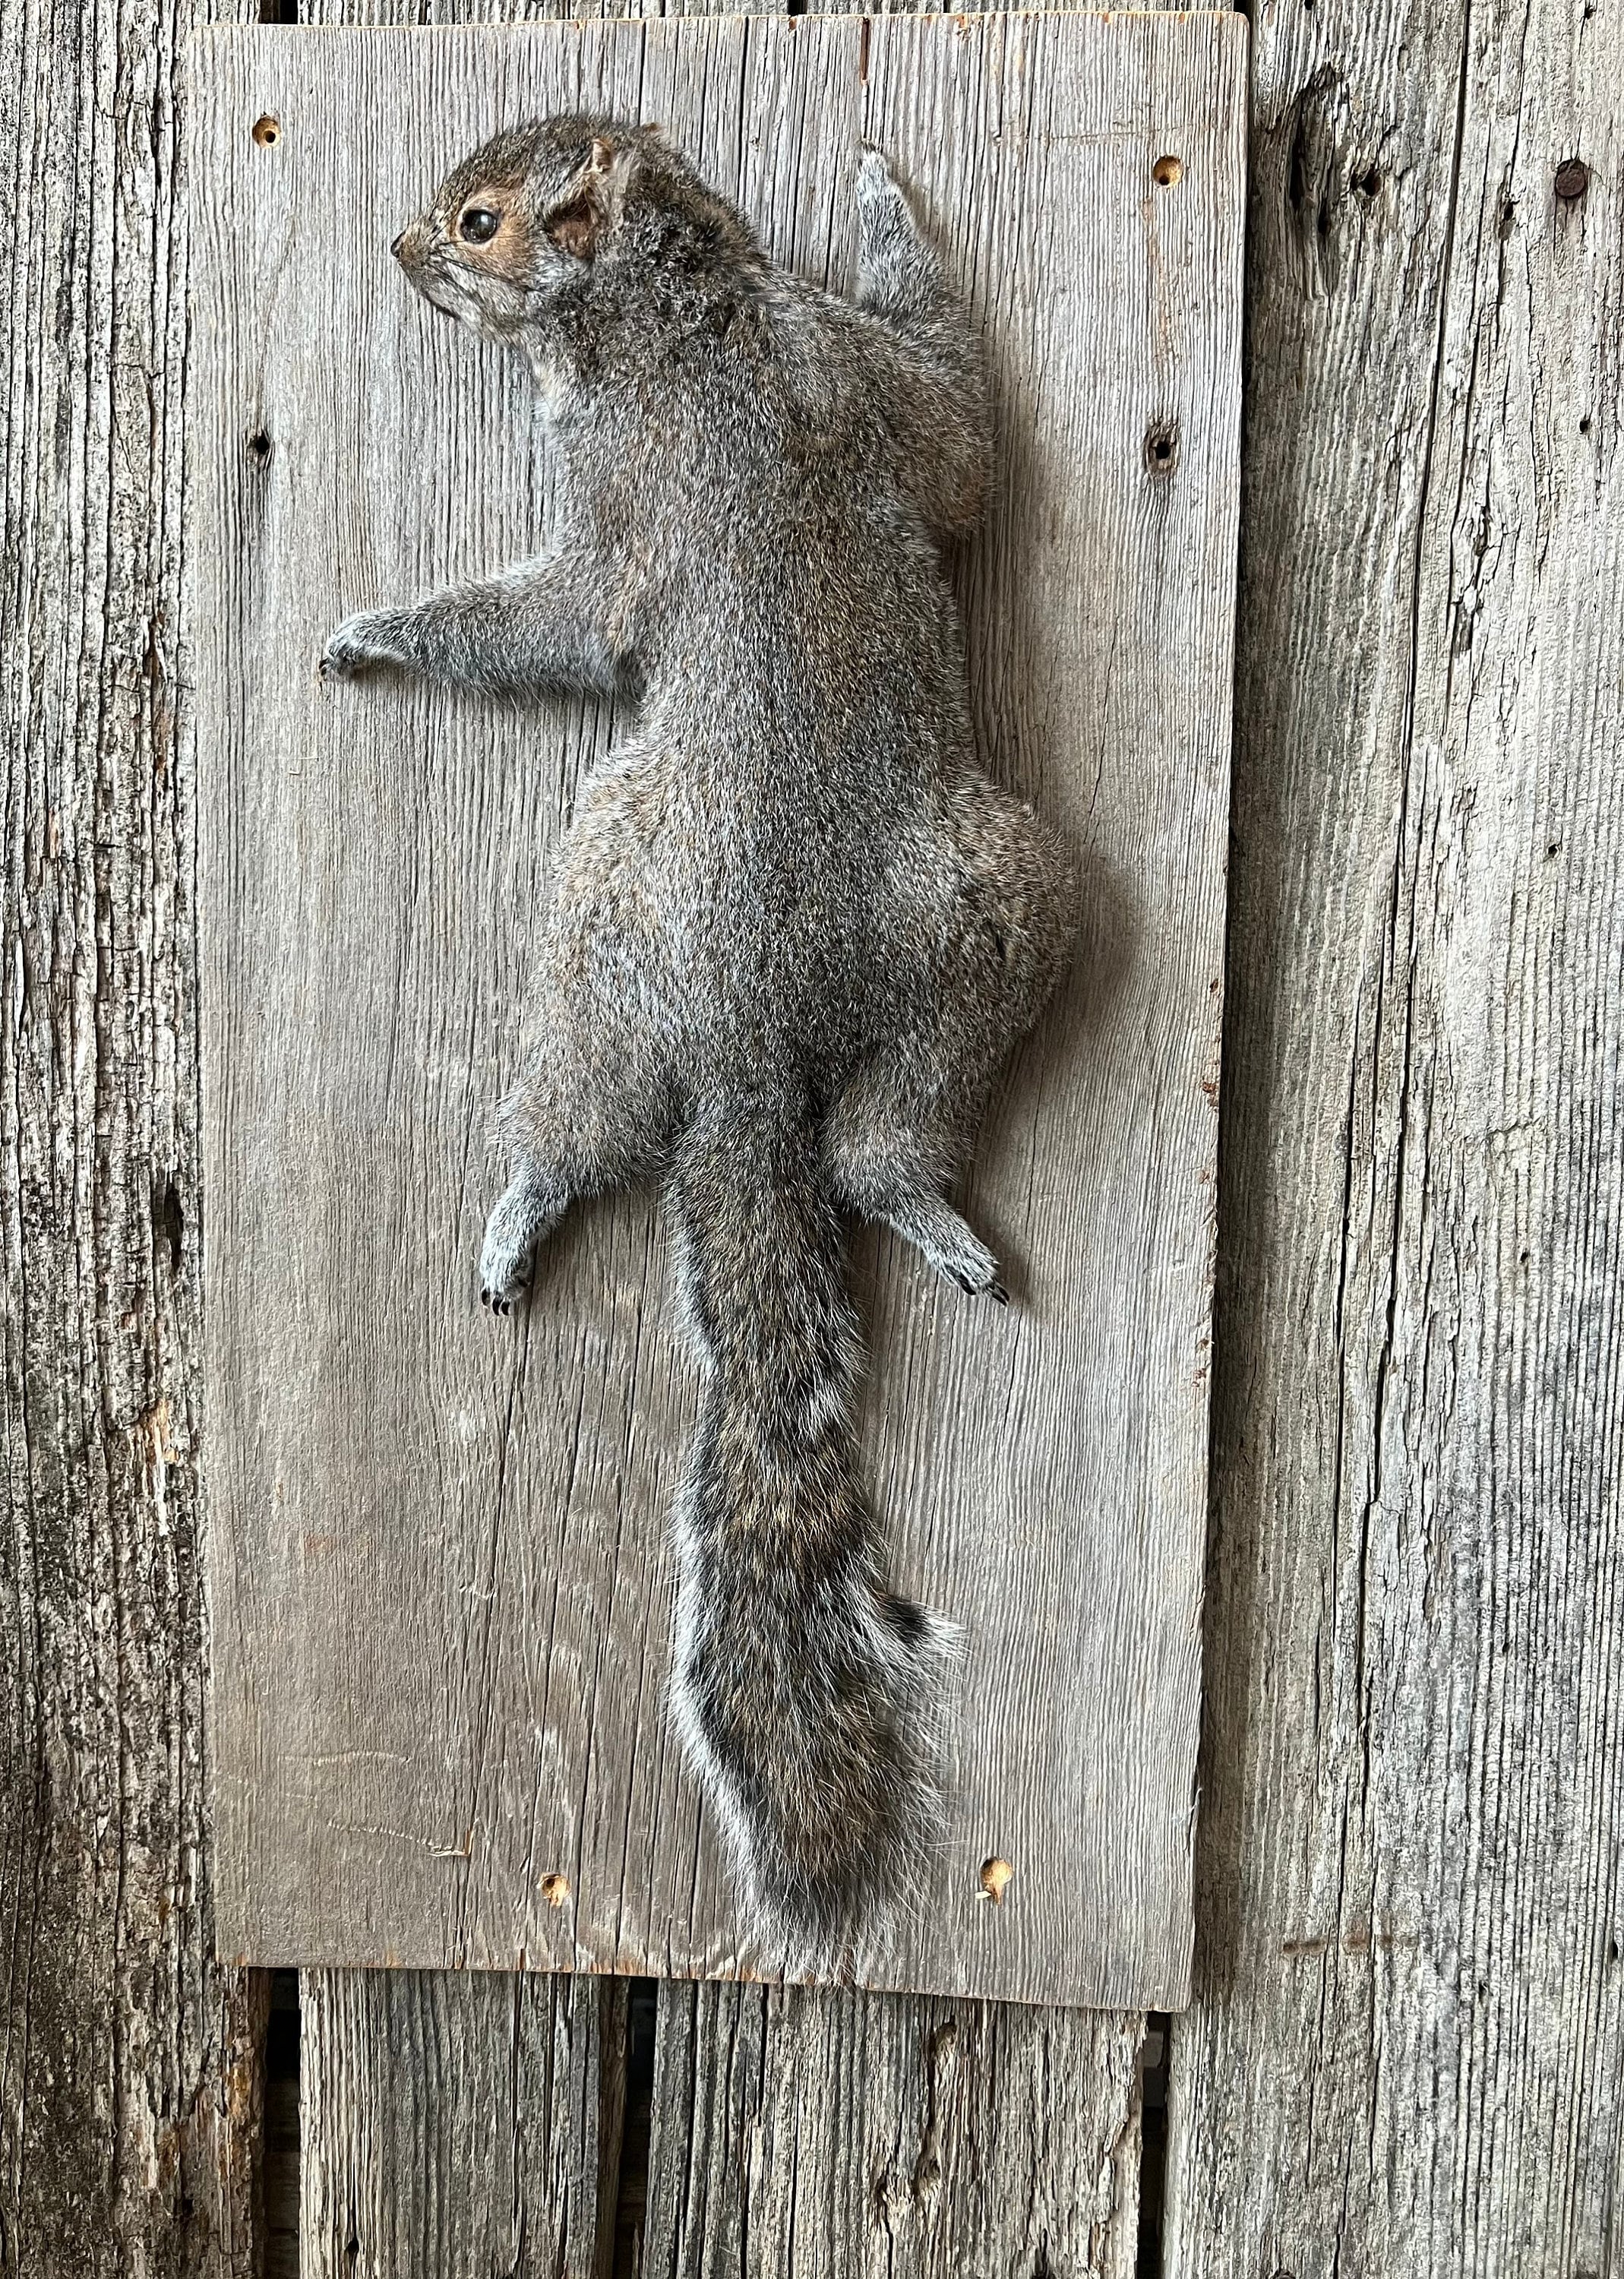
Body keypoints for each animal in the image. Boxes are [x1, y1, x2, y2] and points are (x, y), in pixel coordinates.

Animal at [321, 116, 1079, 1954]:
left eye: (480, 221)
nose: (401, 250)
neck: (703, 316)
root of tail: (756, 1023)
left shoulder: (623, 480)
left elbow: (572, 613)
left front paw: (386, 629)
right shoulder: (864, 374)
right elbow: (962, 446)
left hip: (609, 892)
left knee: (587, 1105)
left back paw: (523, 1202)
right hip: (992, 907)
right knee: (886, 1128)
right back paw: (911, 1195)